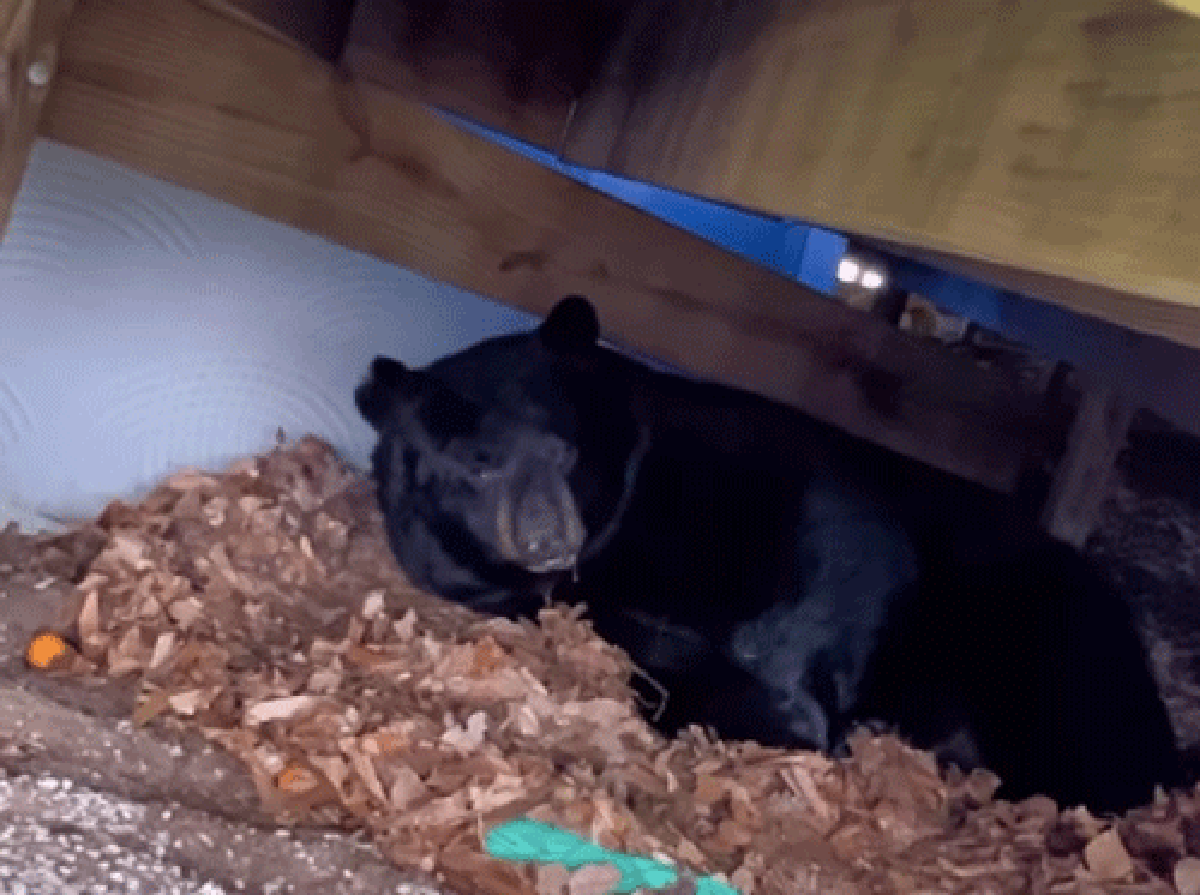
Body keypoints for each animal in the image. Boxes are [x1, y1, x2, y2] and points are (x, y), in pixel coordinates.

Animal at [355, 294, 1187, 814]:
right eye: (475, 465)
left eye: (563, 449)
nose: (544, 536)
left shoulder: (771, 475)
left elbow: (845, 554)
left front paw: (798, 705)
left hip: (1049, 643)